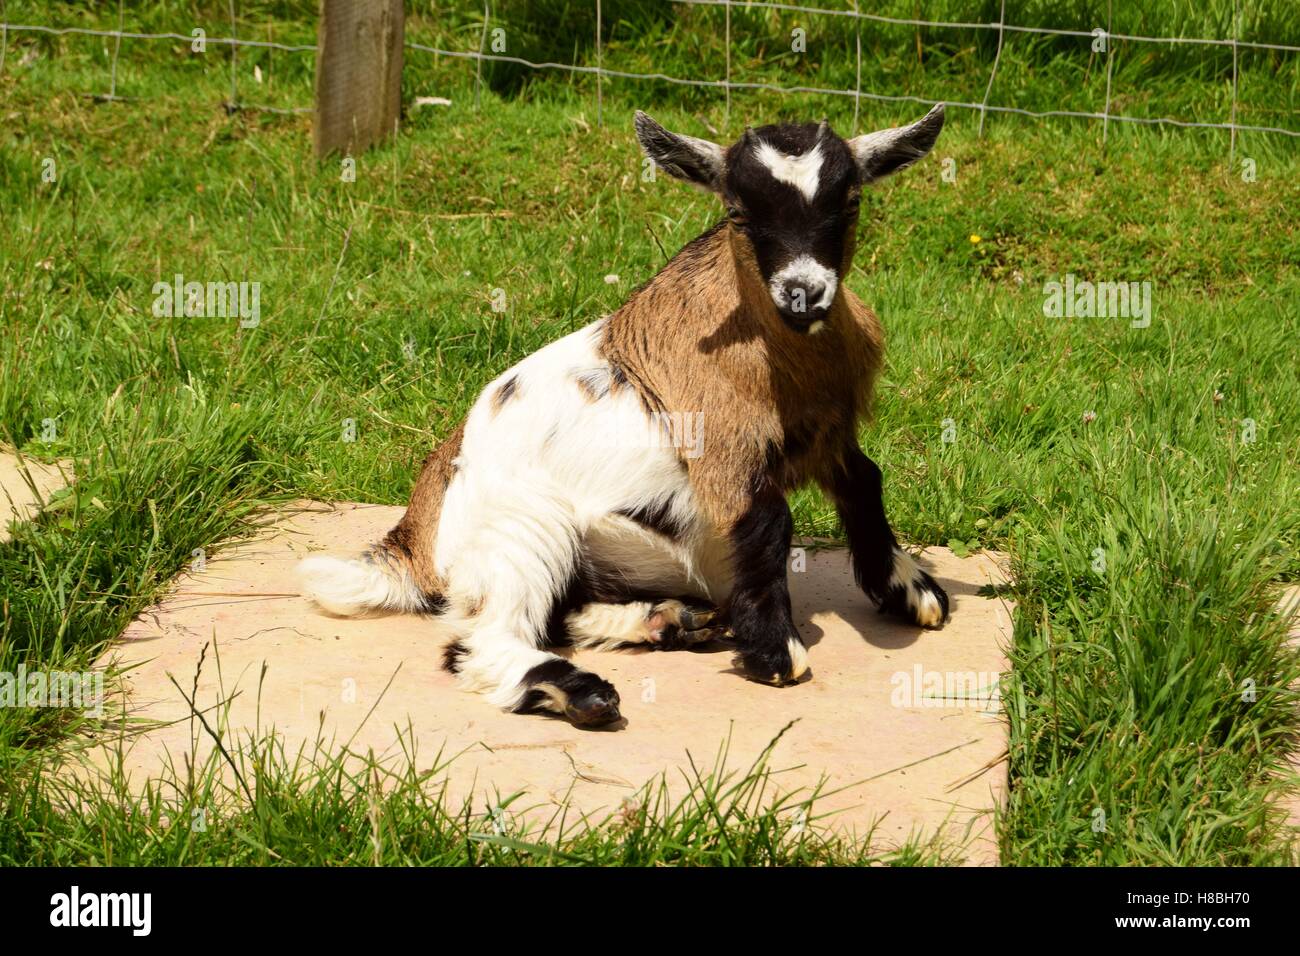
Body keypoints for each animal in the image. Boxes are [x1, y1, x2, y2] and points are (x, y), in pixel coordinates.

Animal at [299, 105, 950, 728]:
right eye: (738, 211)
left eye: (852, 200)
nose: (803, 293)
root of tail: (411, 538)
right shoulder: (722, 448)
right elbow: (768, 519)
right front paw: (776, 653)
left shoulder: (829, 432)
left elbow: (864, 480)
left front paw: (911, 591)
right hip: (523, 527)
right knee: (483, 639)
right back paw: (579, 691)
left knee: (556, 614)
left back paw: (667, 621)